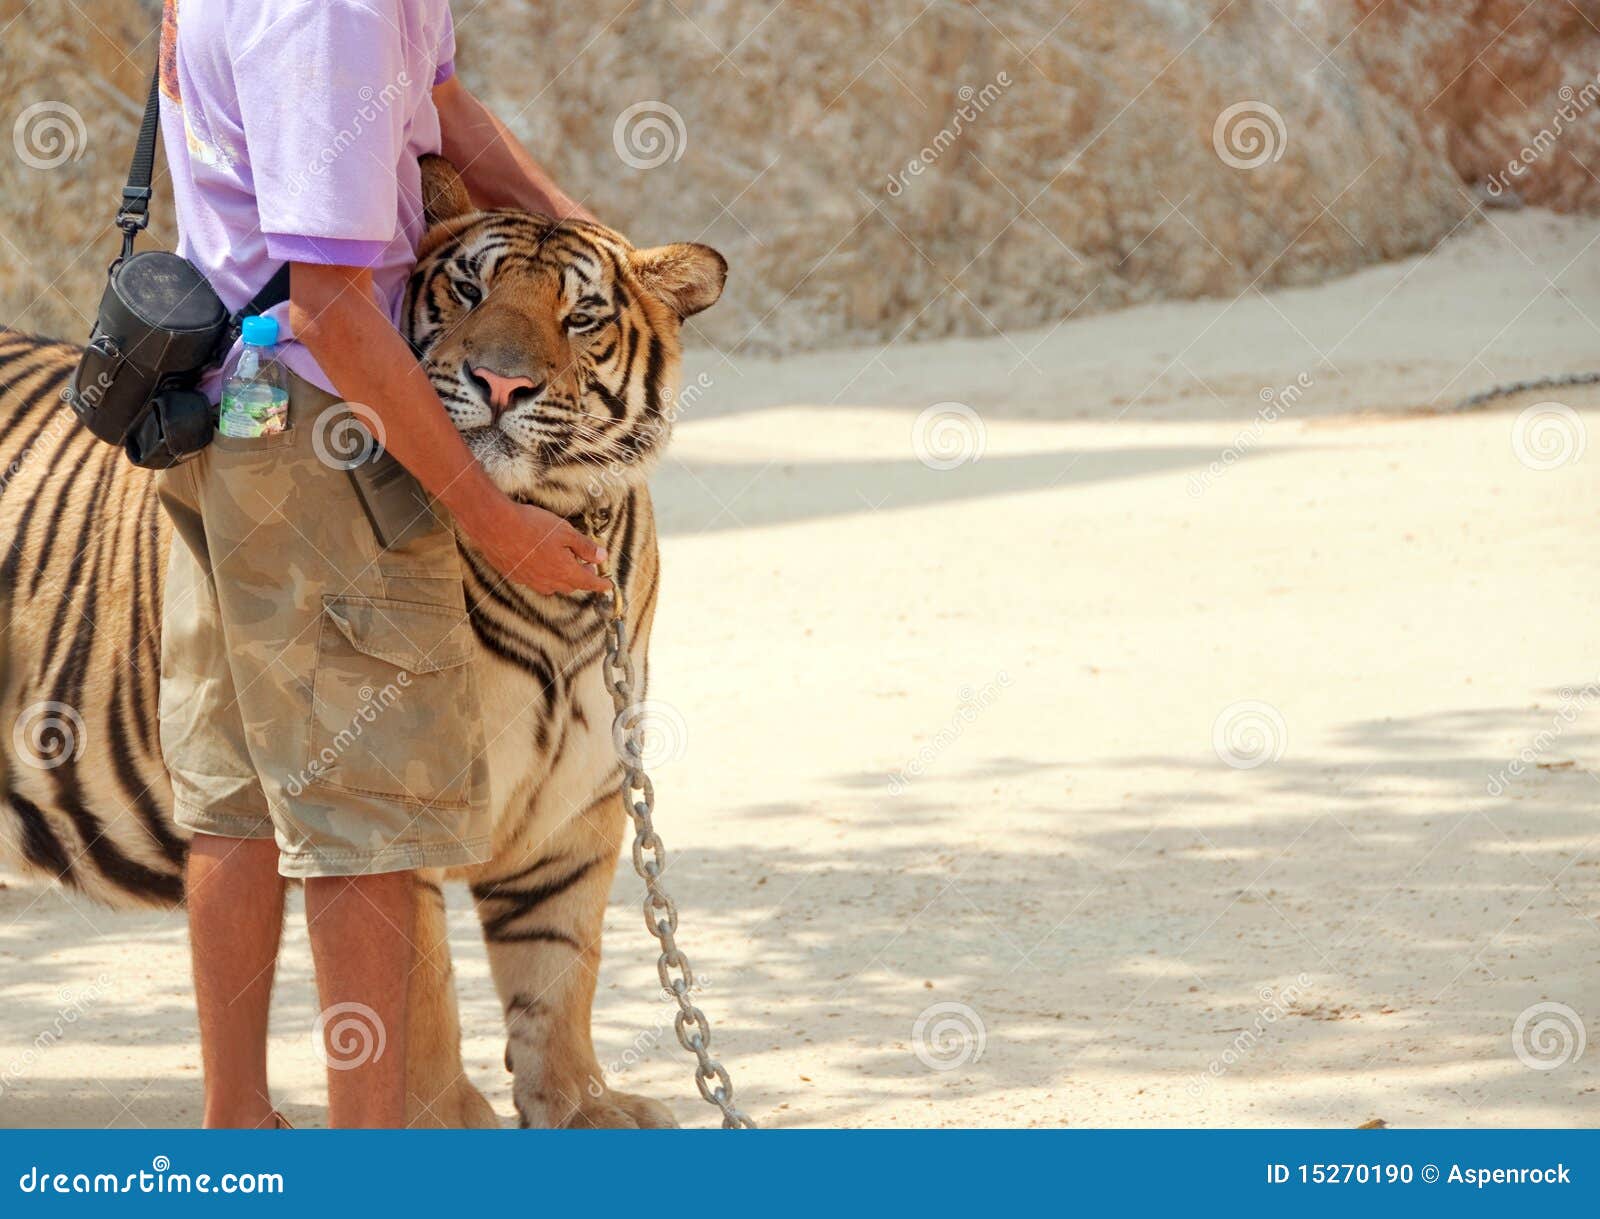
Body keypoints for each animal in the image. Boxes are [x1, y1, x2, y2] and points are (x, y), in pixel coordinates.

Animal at [0, 154, 727, 1129]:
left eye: (581, 318)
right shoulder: (395, 799)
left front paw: (581, 1105)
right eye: (467, 289)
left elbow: (558, 964)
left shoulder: (581, 796)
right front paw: (446, 1120)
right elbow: (418, 993)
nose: (502, 386)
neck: (556, 521)